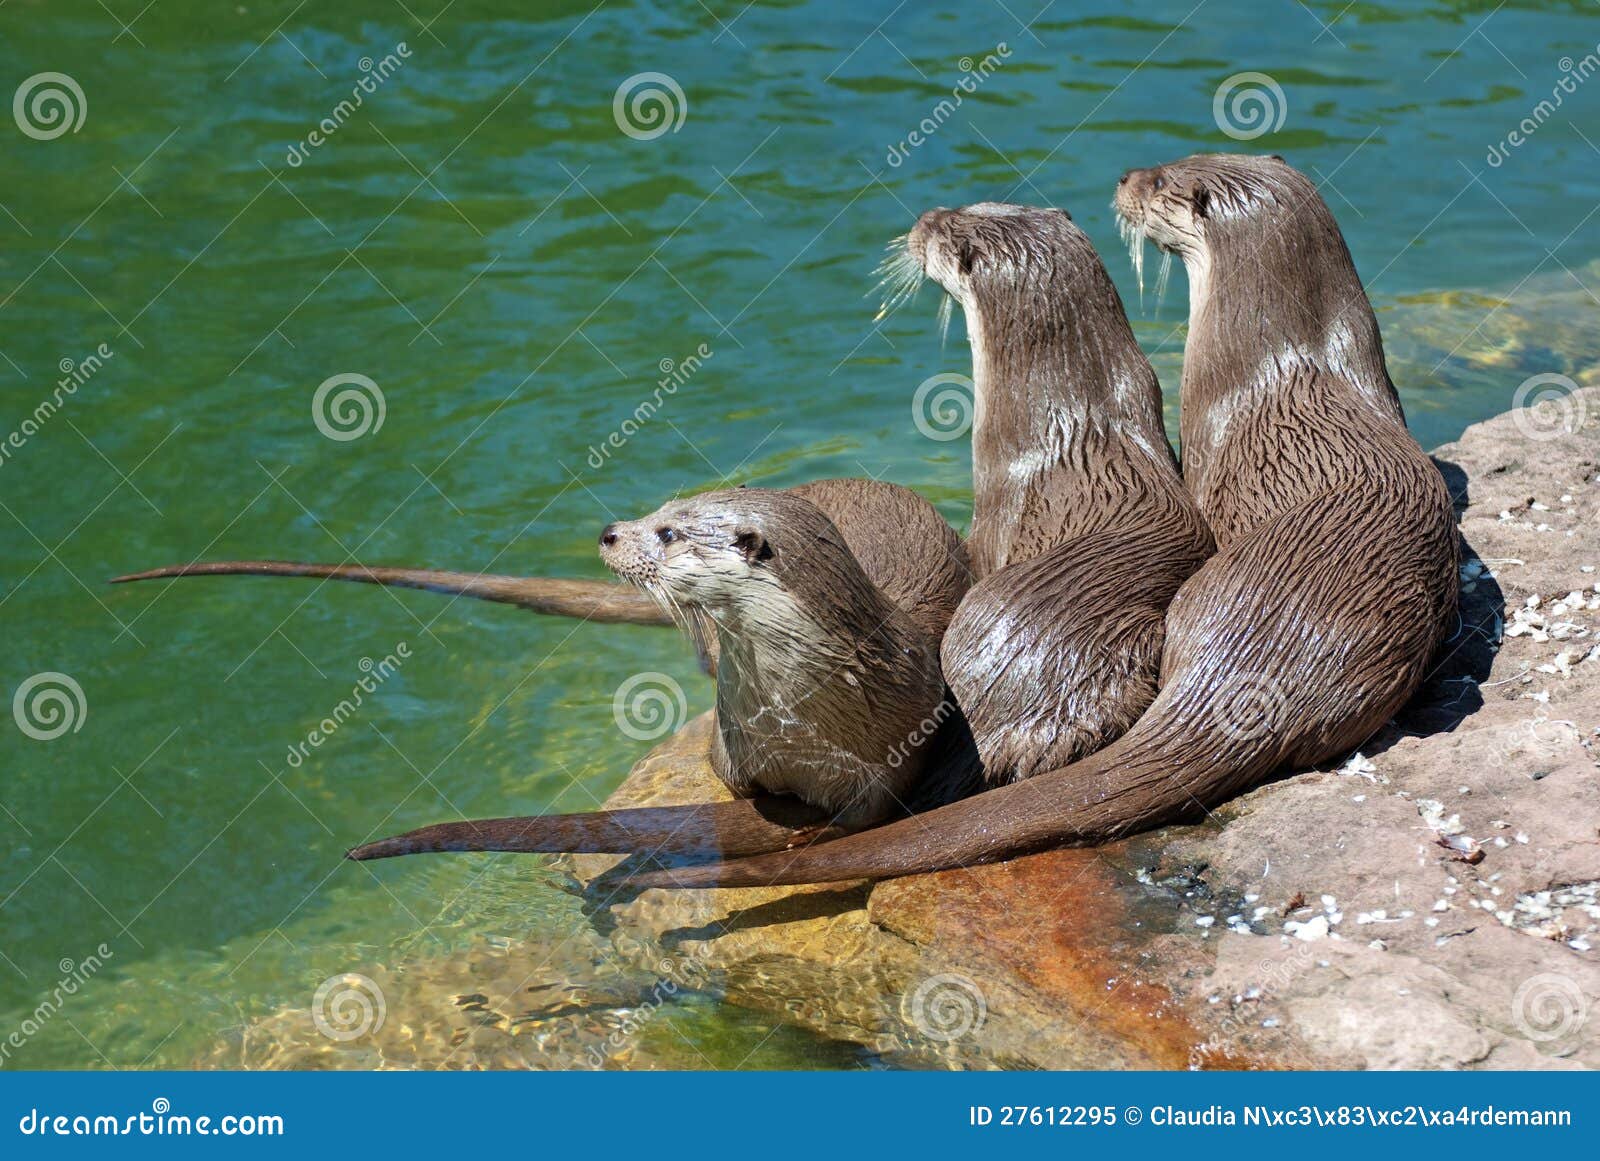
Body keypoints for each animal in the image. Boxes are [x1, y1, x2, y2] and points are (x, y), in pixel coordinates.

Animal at [349, 488, 948, 860]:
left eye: (667, 533)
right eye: (664, 508)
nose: (609, 531)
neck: (796, 731)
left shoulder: (893, 764)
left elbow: (854, 820)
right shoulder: (730, 752)